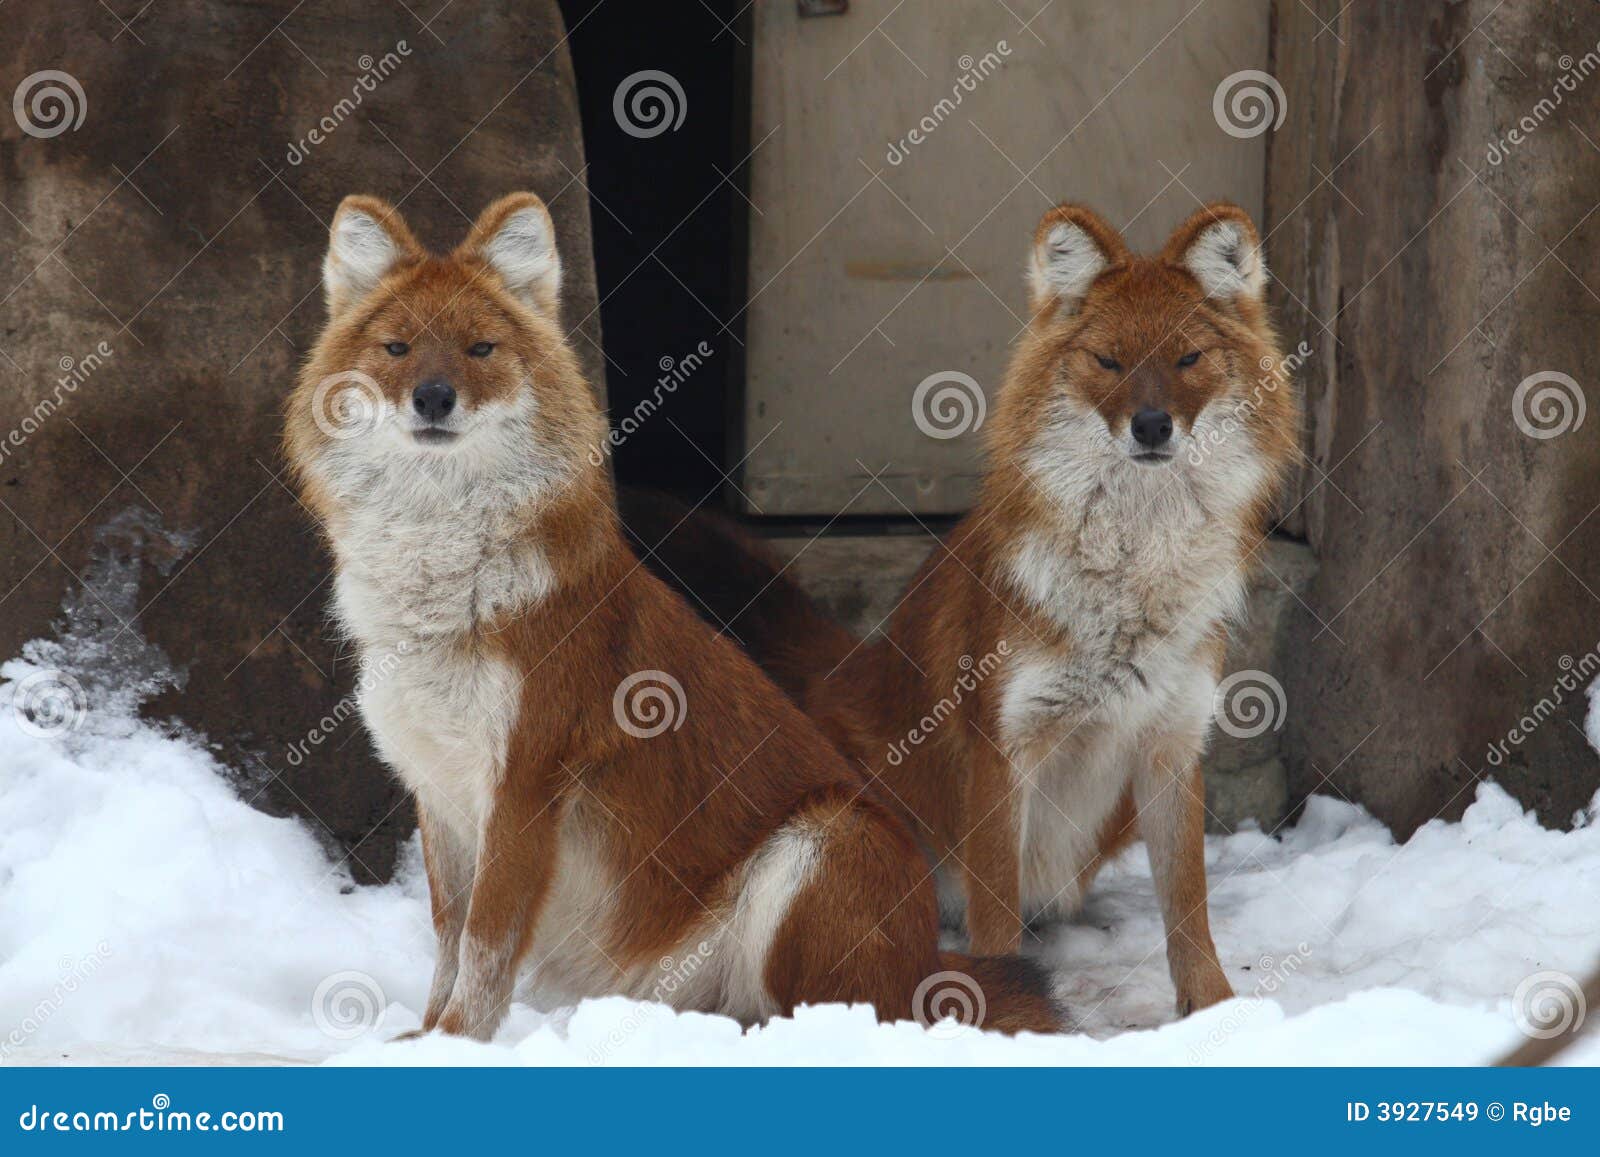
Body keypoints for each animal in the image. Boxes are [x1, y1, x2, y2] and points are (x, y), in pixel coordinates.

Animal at [283, 191, 1063, 1041]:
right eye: (396, 348)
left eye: (480, 348)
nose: (432, 396)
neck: (438, 578)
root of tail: (929, 963)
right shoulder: (441, 792)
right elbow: (449, 937)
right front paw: (423, 1037)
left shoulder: (525, 786)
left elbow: (486, 946)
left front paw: (455, 1045)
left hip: (826, 840)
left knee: (853, 1014)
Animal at [625, 201, 1299, 1017]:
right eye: (1107, 361)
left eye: (1188, 359)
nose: (1150, 425)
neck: (1135, 566)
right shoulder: (1002, 746)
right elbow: (995, 909)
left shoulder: (1172, 744)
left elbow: (1189, 906)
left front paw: (1215, 1006)